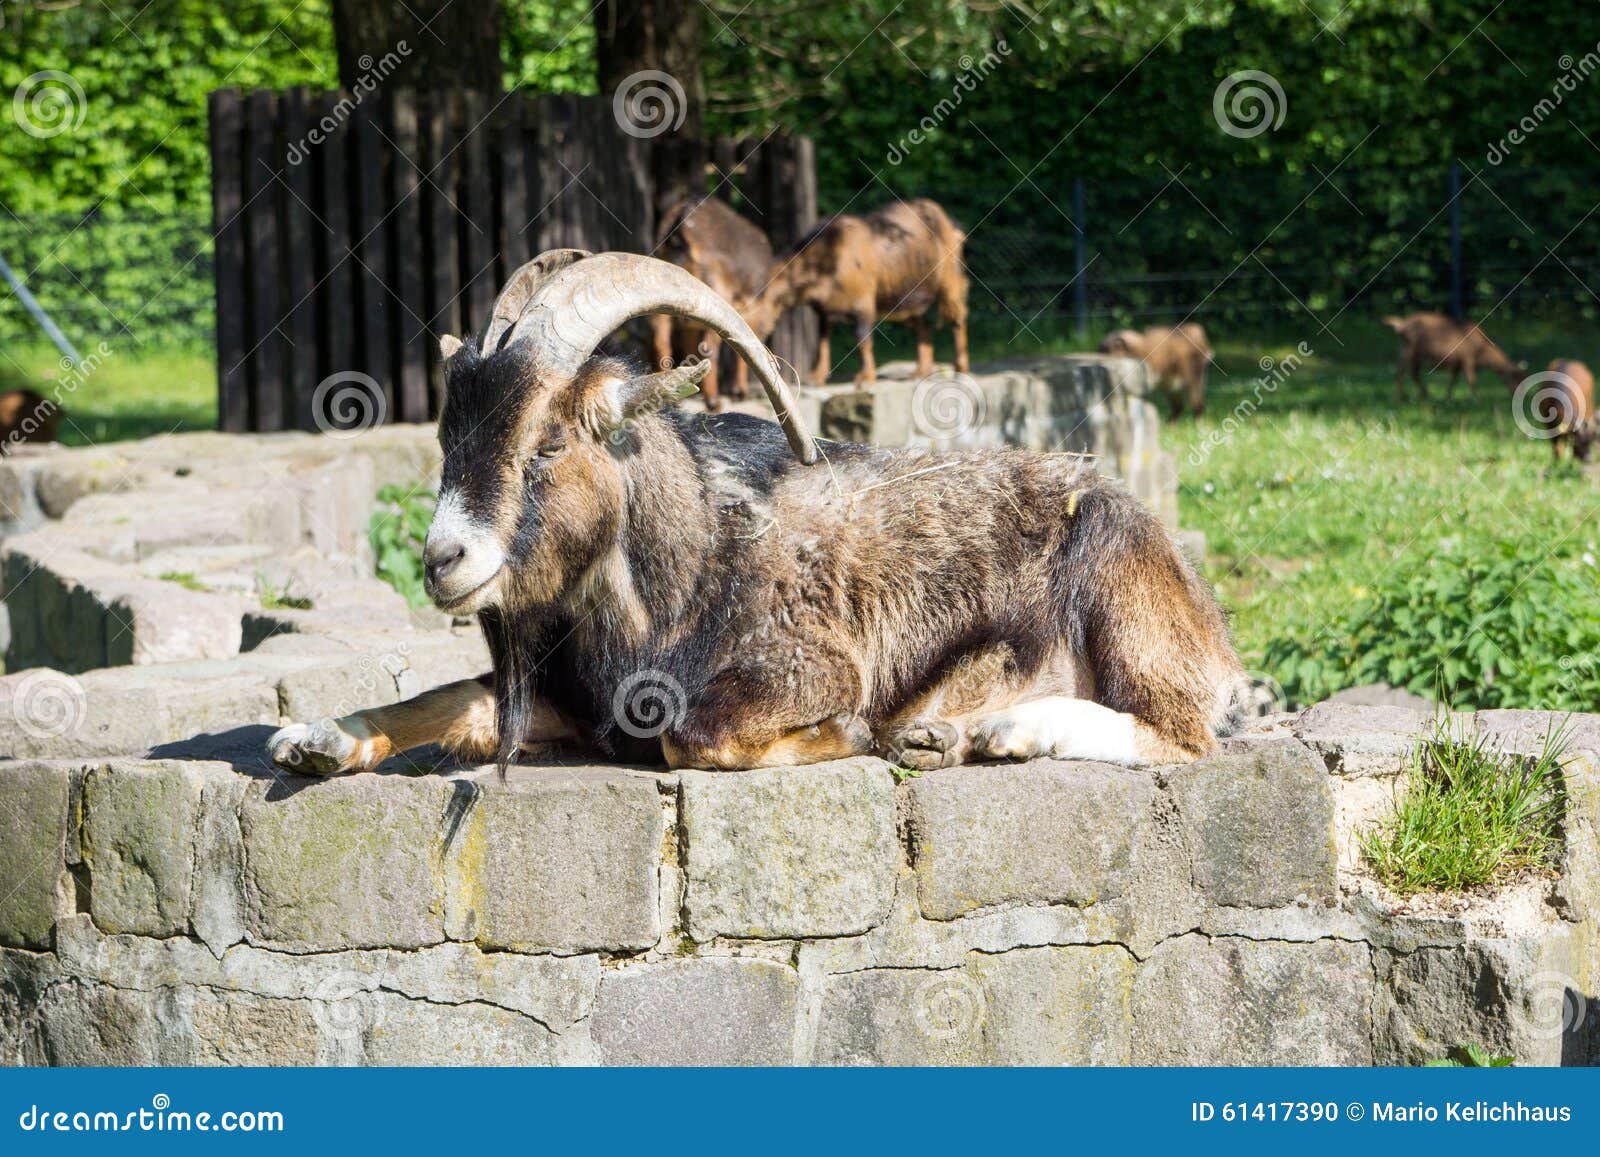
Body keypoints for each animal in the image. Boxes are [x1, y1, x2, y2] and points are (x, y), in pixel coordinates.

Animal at [267, 251, 1243, 777]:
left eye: (548, 441)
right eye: (446, 440)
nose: (444, 560)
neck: (685, 577)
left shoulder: (807, 665)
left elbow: (693, 736)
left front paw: (847, 734)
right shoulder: (572, 703)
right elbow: (447, 698)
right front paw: (313, 736)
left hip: (1117, 577)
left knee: (1184, 734)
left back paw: (1001, 727)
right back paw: (949, 733)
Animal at [745, 198, 969, 385]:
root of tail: (949, 222)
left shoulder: (864, 302)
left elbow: (862, 338)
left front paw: (866, 377)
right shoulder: (825, 310)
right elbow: (822, 340)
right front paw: (817, 376)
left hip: (949, 278)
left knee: (957, 317)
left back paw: (960, 367)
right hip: (906, 294)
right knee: (923, 325)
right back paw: (921, 371)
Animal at [1384, 312, 1526, 401]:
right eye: (1516, 378)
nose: (1519, 394)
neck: (1481, 351)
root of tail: (1401, 325)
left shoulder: (1457, 364)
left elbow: (1454, 380)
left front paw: (1448, 398)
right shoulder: (1467, 359)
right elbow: (1471, 380)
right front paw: (1477, 398)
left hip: (1413, 354)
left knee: (1413, 374)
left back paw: (1423, 395)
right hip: (1409, 351)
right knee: (1400, 373)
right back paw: (1398, 398)